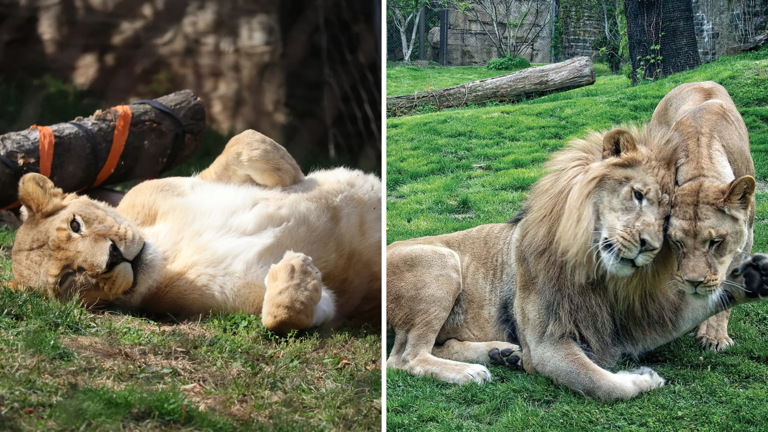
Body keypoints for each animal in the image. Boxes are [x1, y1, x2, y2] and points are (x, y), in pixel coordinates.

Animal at [6, 130, 381, 333]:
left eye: (75, 225)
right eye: (68, 279)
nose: (112, 258)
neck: (169, 249)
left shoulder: (173, 185)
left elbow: (243, 141)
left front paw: (294, 175)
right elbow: (285, 315)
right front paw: (296, 272)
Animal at [387, 124, 768, 401]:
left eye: (666, 217)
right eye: (638, 195)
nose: (649, 246)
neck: (593, 269)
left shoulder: (627, 322)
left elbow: (696, 304)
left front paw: (752, 278)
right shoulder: (546, 343)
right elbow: (602, 384)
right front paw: (643, 379)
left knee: (441, 345)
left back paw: (502, 353)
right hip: (442, 261)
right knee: (404, 358)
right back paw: (470, 372)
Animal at [650, 81, 755, 352]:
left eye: (715, 242)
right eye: (676, 242)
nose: (694, 282)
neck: (701, 169)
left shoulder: (744, 242)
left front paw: (714, 336)